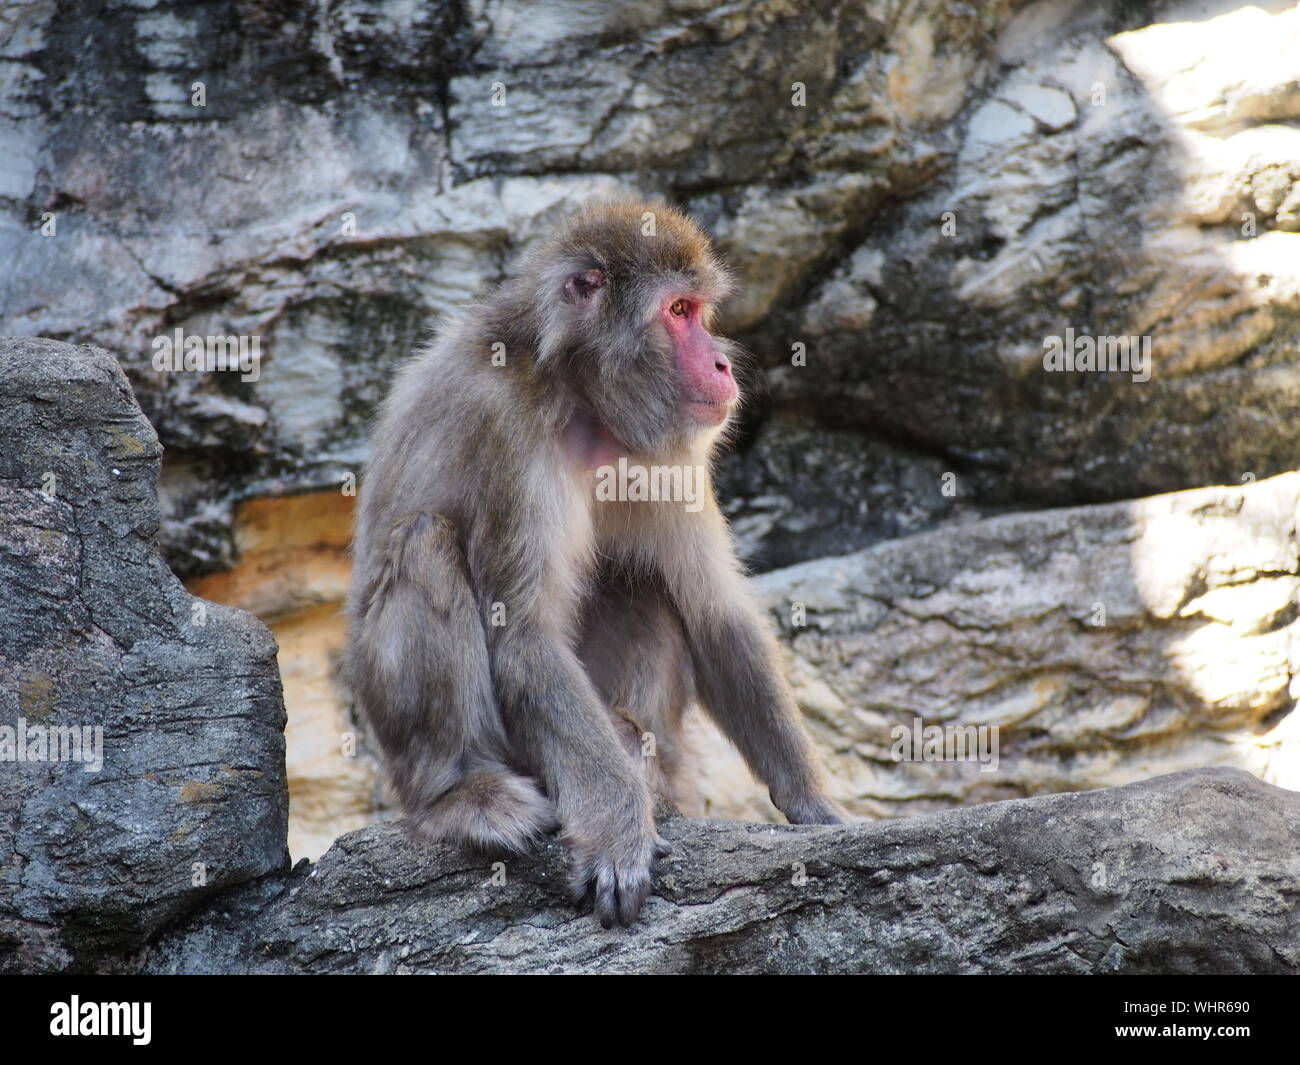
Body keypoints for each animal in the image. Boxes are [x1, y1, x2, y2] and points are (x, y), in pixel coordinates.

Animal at [345, 201, 847, 928]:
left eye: (699, 311)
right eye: (679, 311)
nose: (722, 364)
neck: (583, 402)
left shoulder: (674, 451)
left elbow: (715, 610)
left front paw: (813, 801)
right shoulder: (506, 426)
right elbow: (524, 636)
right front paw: (617, 832)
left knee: (640, 578)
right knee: (425, 541)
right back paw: (463, 794)